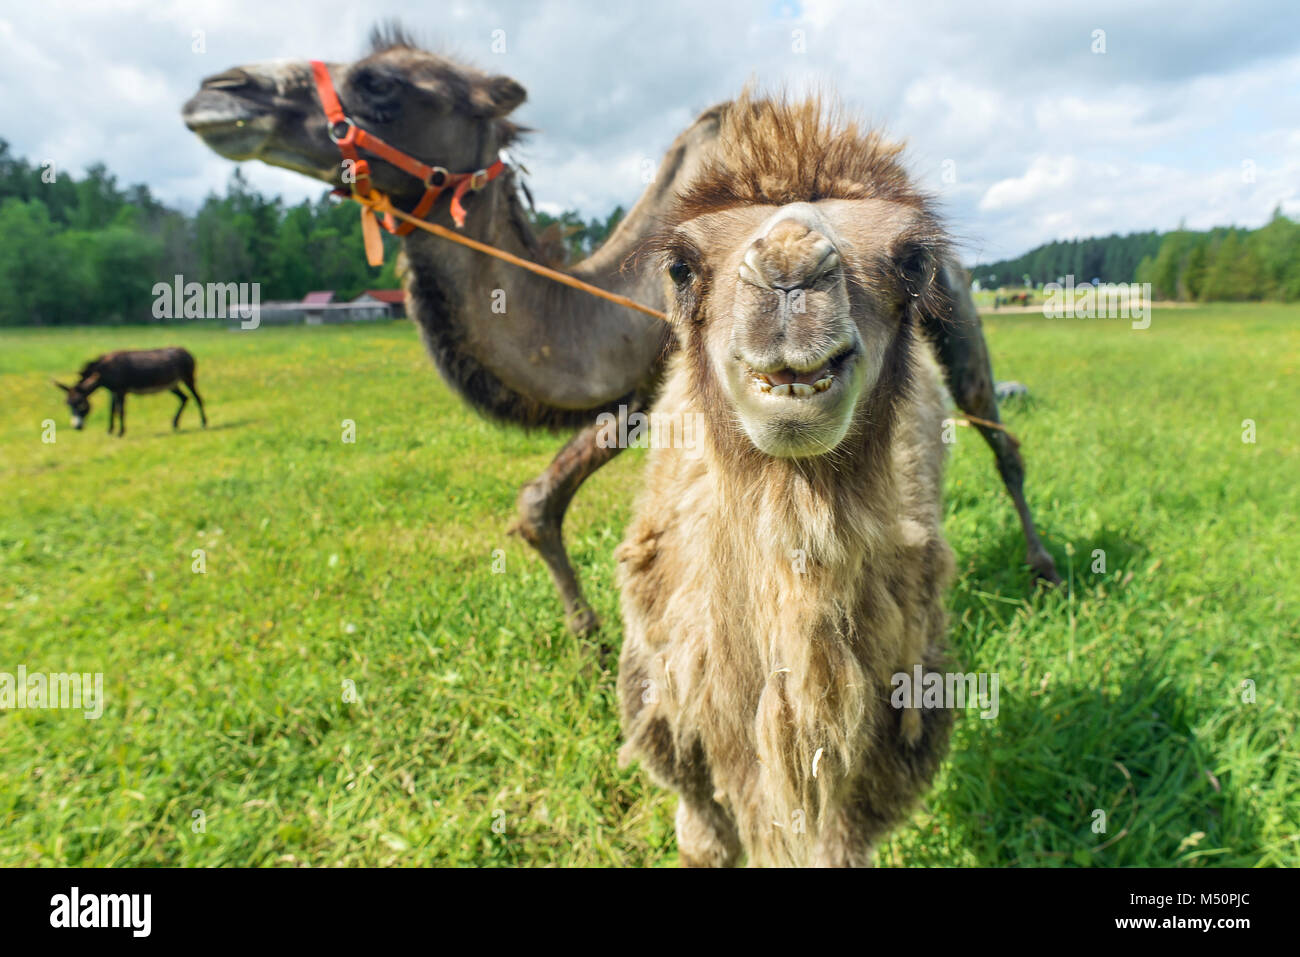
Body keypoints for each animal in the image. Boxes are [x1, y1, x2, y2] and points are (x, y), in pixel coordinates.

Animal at [182, 25, 1059, 638]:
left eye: (383, 82)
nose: (219, 90)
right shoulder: (640, 391)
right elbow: (540, 500)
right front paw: (588, 632)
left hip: (955, 306)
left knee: (997, 430)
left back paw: (1043, 564)